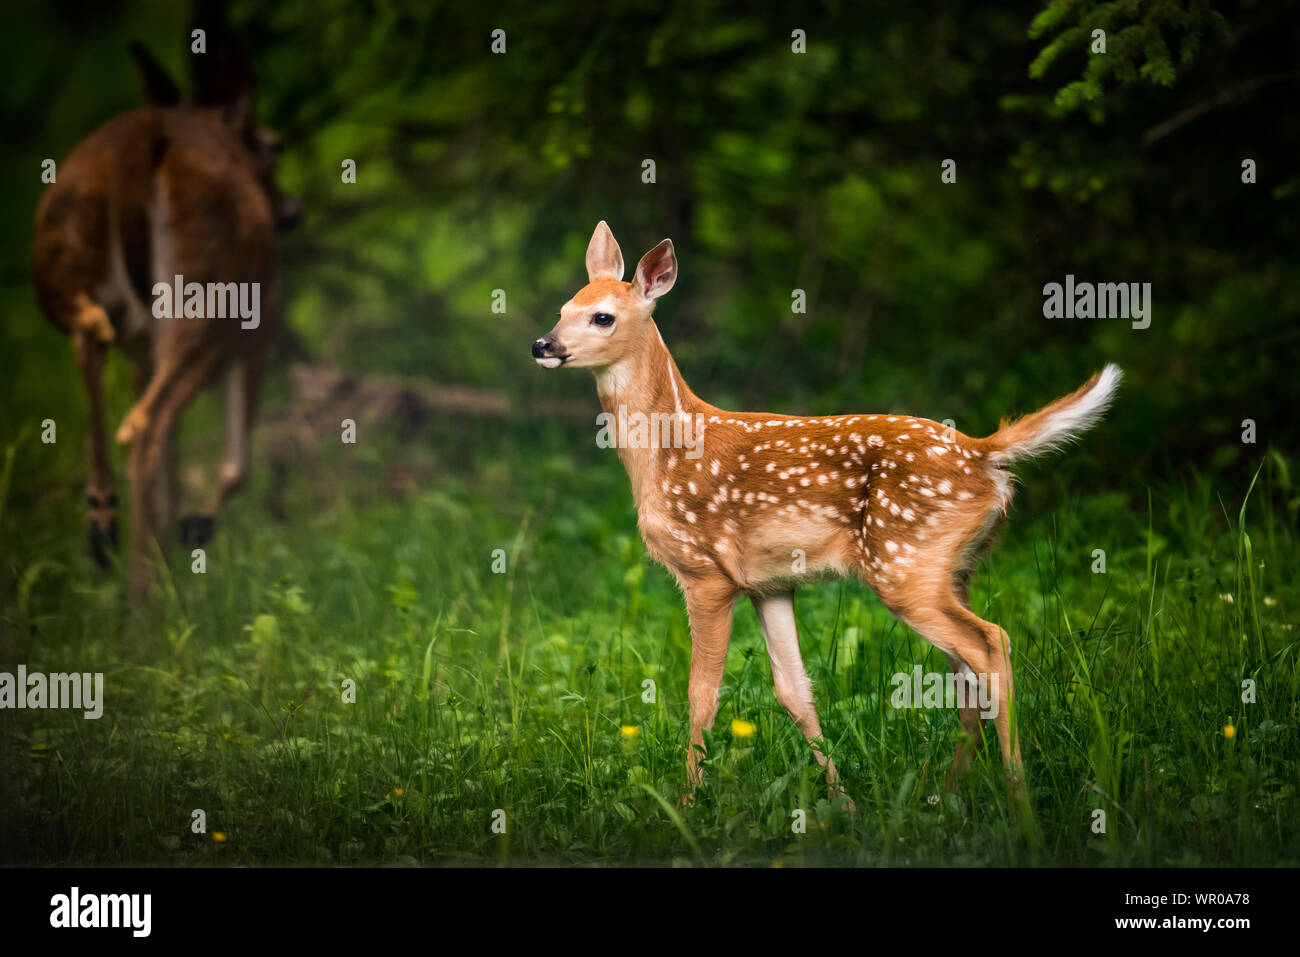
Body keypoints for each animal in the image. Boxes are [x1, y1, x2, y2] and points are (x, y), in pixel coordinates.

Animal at [32, 15, 298, 603]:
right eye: (273, 144)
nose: (294, 209)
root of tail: (143, 143)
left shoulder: (143, 353)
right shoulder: (257, 330)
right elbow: (236, 463)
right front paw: (194, 530)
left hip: (60, 270)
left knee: (94, 343)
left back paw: (106, 532)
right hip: (209, 298)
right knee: (146, 427)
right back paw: (145, 604)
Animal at [533, 221, 1122, 807]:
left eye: (602, 316)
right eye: (562, 308)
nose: (543, 344)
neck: (664, 454)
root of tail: (985, 452)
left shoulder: (707, 573)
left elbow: (703, 694)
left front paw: (685, 804)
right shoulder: (769, 582)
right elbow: (795, 691)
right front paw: (843, 802)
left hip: (905, 564)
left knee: (991, 645)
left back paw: (1018, 798)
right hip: (953, 569)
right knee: (966, 674)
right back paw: (944, 796)